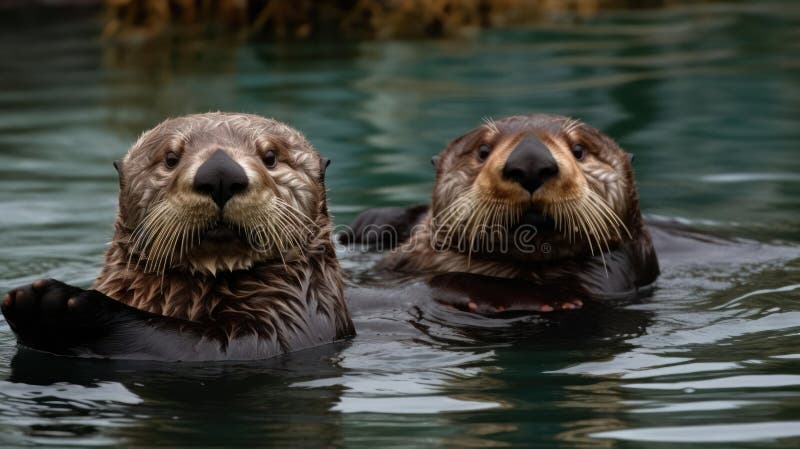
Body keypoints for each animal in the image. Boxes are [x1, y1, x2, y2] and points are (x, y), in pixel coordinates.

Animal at [1, 113, 354, 360]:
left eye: (270, 156)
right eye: (170, 158)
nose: (220, 173)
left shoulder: (293, 319)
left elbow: (204, 347)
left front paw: (54, 303)